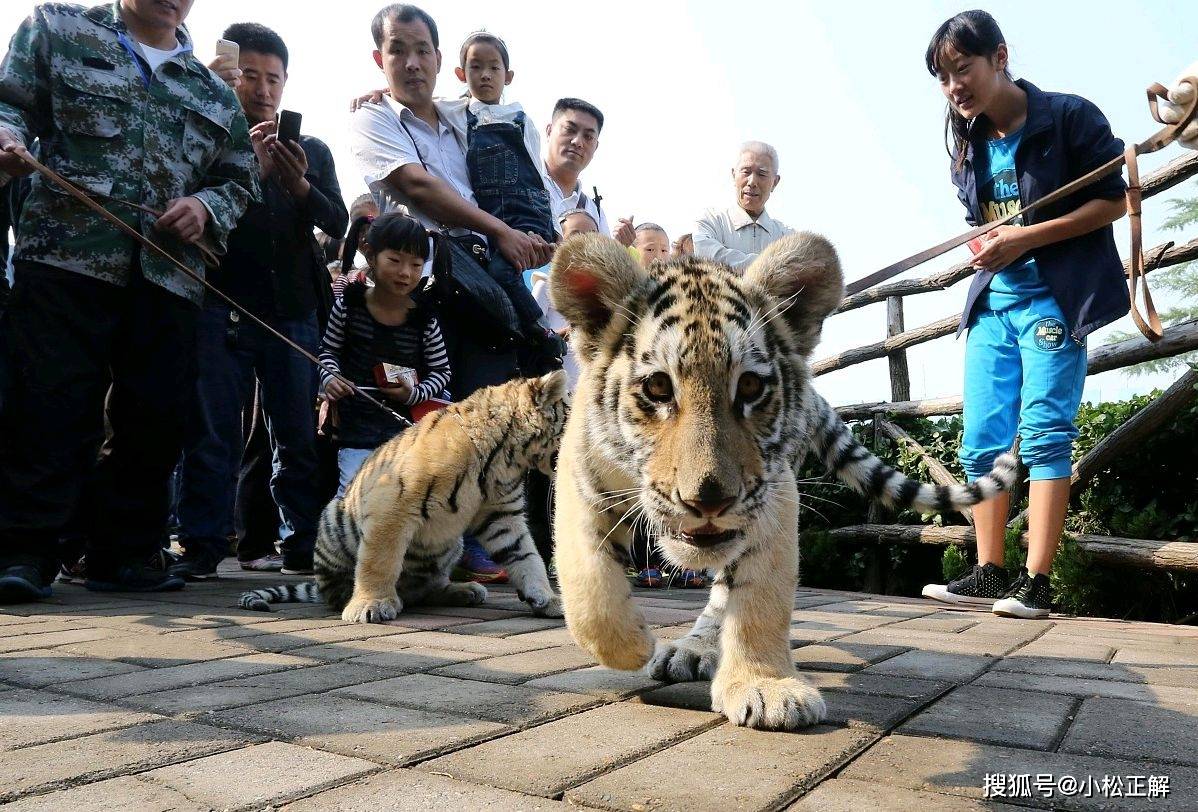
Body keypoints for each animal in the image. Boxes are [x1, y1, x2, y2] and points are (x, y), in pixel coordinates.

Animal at [238, 371, 569, 623]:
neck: (508, 457)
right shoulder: (390, 506)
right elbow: (379, 561)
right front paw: (370, 606)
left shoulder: (502, 515)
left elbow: (526, 556)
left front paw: (547, 599)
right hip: (334, 517)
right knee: (335, 591)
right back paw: (359, 598)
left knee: (425, 589)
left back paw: (464, 590)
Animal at [548, 232, 1018, 731]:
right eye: (658, 387)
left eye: (751, 387)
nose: (709, 500)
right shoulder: (579, 481)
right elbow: (586, 585)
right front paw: (632, 646)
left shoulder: (773, 497)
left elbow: (760, 598)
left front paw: (766, 687)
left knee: (723, 593)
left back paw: (696, 650)